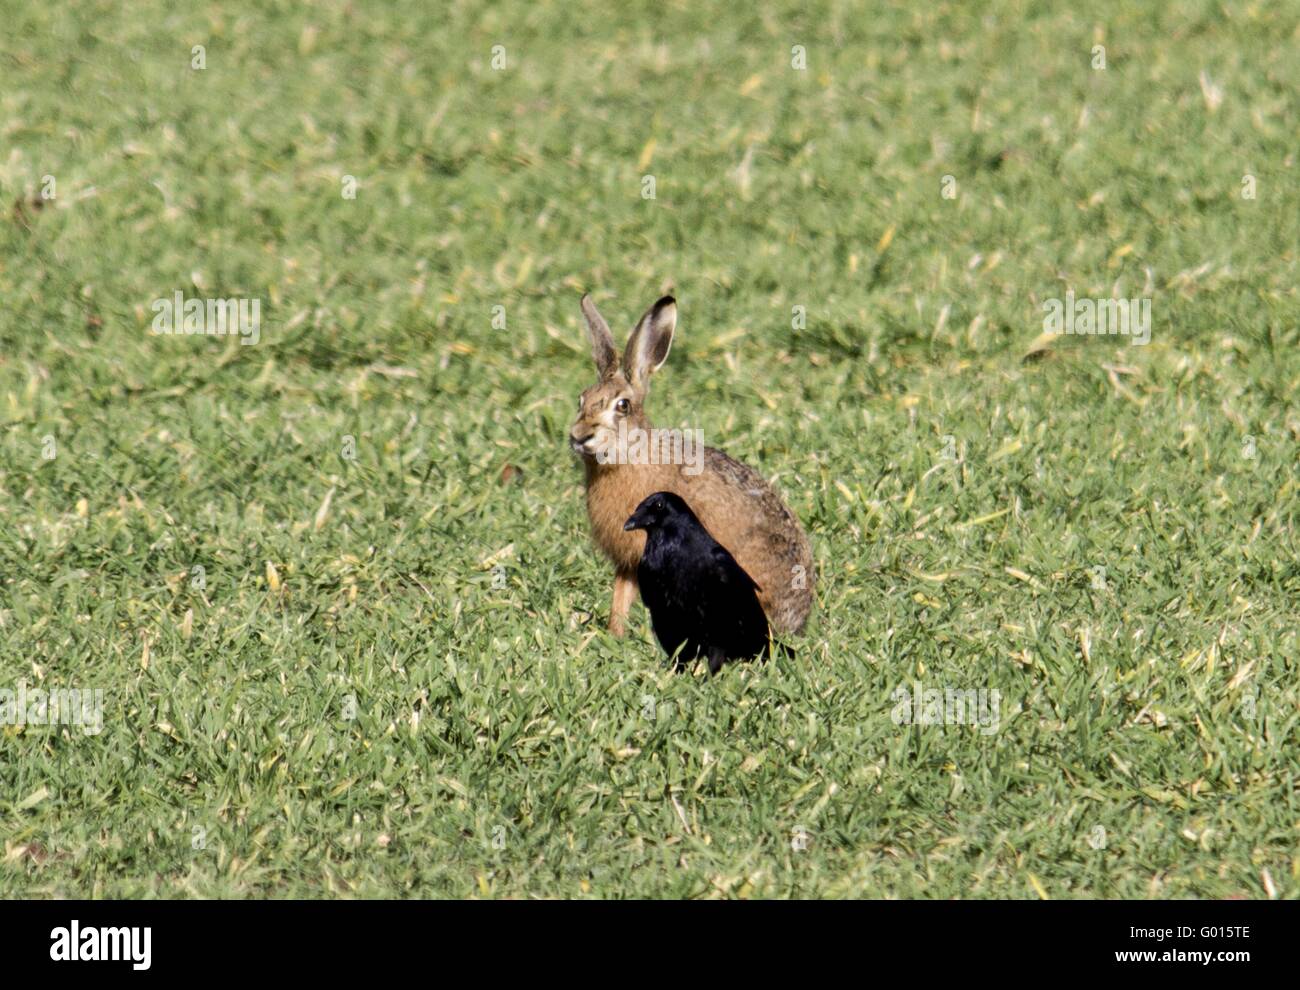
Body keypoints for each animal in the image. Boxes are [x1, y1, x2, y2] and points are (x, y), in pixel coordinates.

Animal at [569, 293, 814, 638]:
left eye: (623, 406)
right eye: (581, 399)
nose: (579, 435)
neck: (629, 456)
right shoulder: (627, 564)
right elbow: (621, 597)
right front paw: (614, 633)